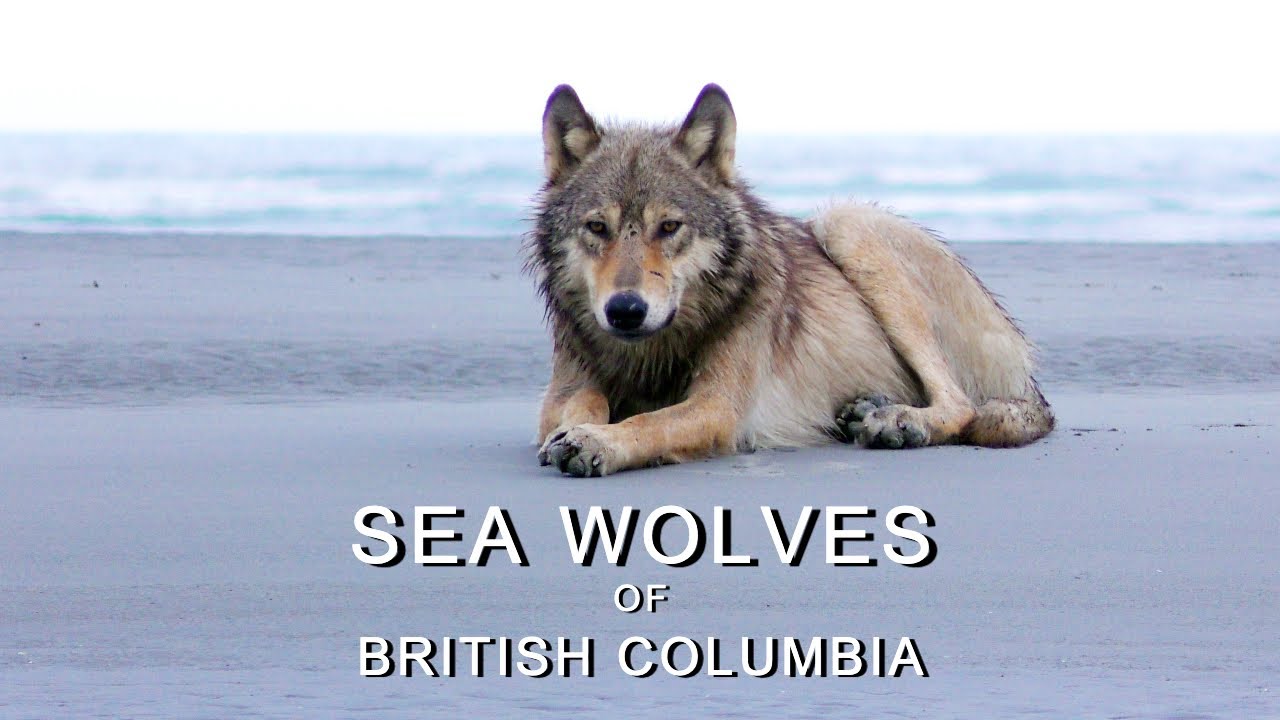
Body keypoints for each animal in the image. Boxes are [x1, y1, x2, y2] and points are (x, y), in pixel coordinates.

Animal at [527, 83, 1053, 477]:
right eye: (598, 228)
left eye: (670, 227)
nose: (625, 310)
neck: (651, 354)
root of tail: (1031, 383)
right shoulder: (561, 392)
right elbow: (585, 401)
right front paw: (575, 432)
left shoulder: (718, 407)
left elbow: (650, 423)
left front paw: (600, 442)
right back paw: (867, 410)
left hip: (846, 223)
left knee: (962, 406)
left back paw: (897, 422)